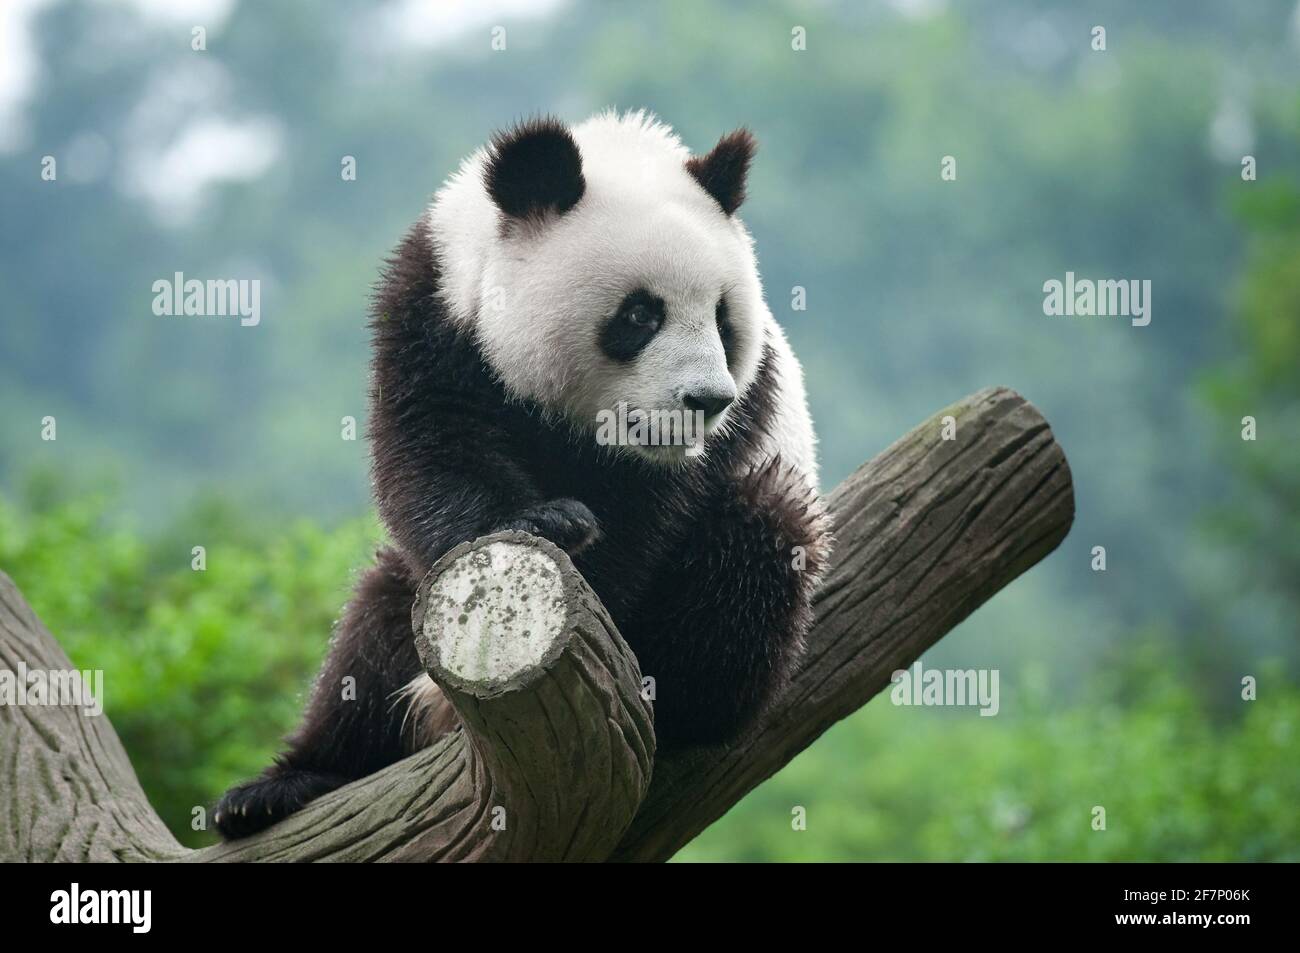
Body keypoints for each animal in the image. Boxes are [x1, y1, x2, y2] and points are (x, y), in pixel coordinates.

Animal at [214, 110, 831, 839]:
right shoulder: (437, 310)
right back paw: (279, 788)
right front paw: (545, 520)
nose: (706, 401)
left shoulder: (719, 437)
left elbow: (639, 532)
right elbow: (435, 450)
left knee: (755, 550)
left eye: (722, 317)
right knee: (369, 633)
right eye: (640, 314)